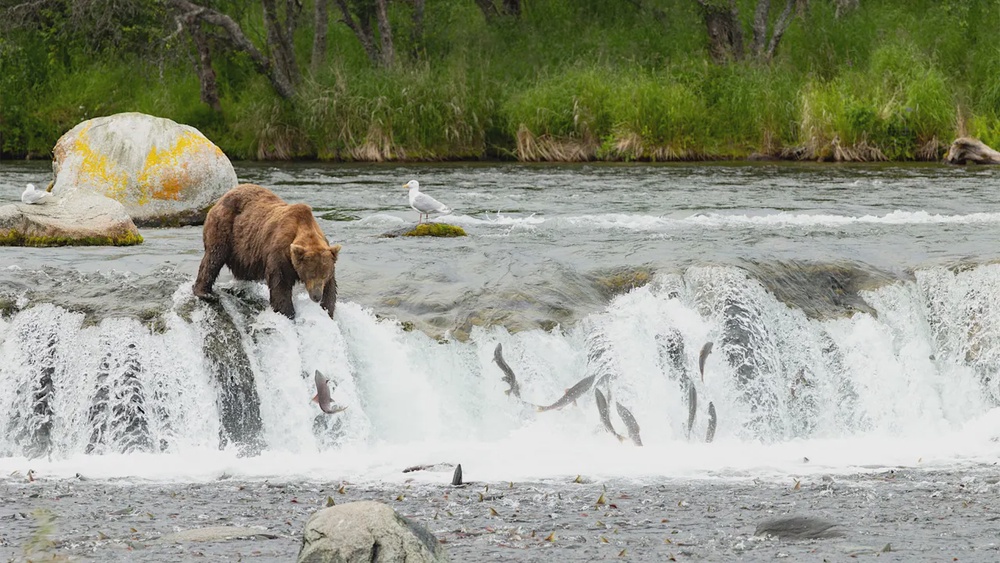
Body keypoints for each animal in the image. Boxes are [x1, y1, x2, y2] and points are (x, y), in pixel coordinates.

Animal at [193, 183, 341, 319]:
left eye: (324, 275)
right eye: (310, 274)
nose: (316, 296)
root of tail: (223, 196)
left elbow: (331, 288)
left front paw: (327, 310)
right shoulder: (280, 252)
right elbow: (280, 283)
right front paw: (287, 312)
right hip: (224, 225)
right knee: (214, 256)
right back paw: (205, 293)